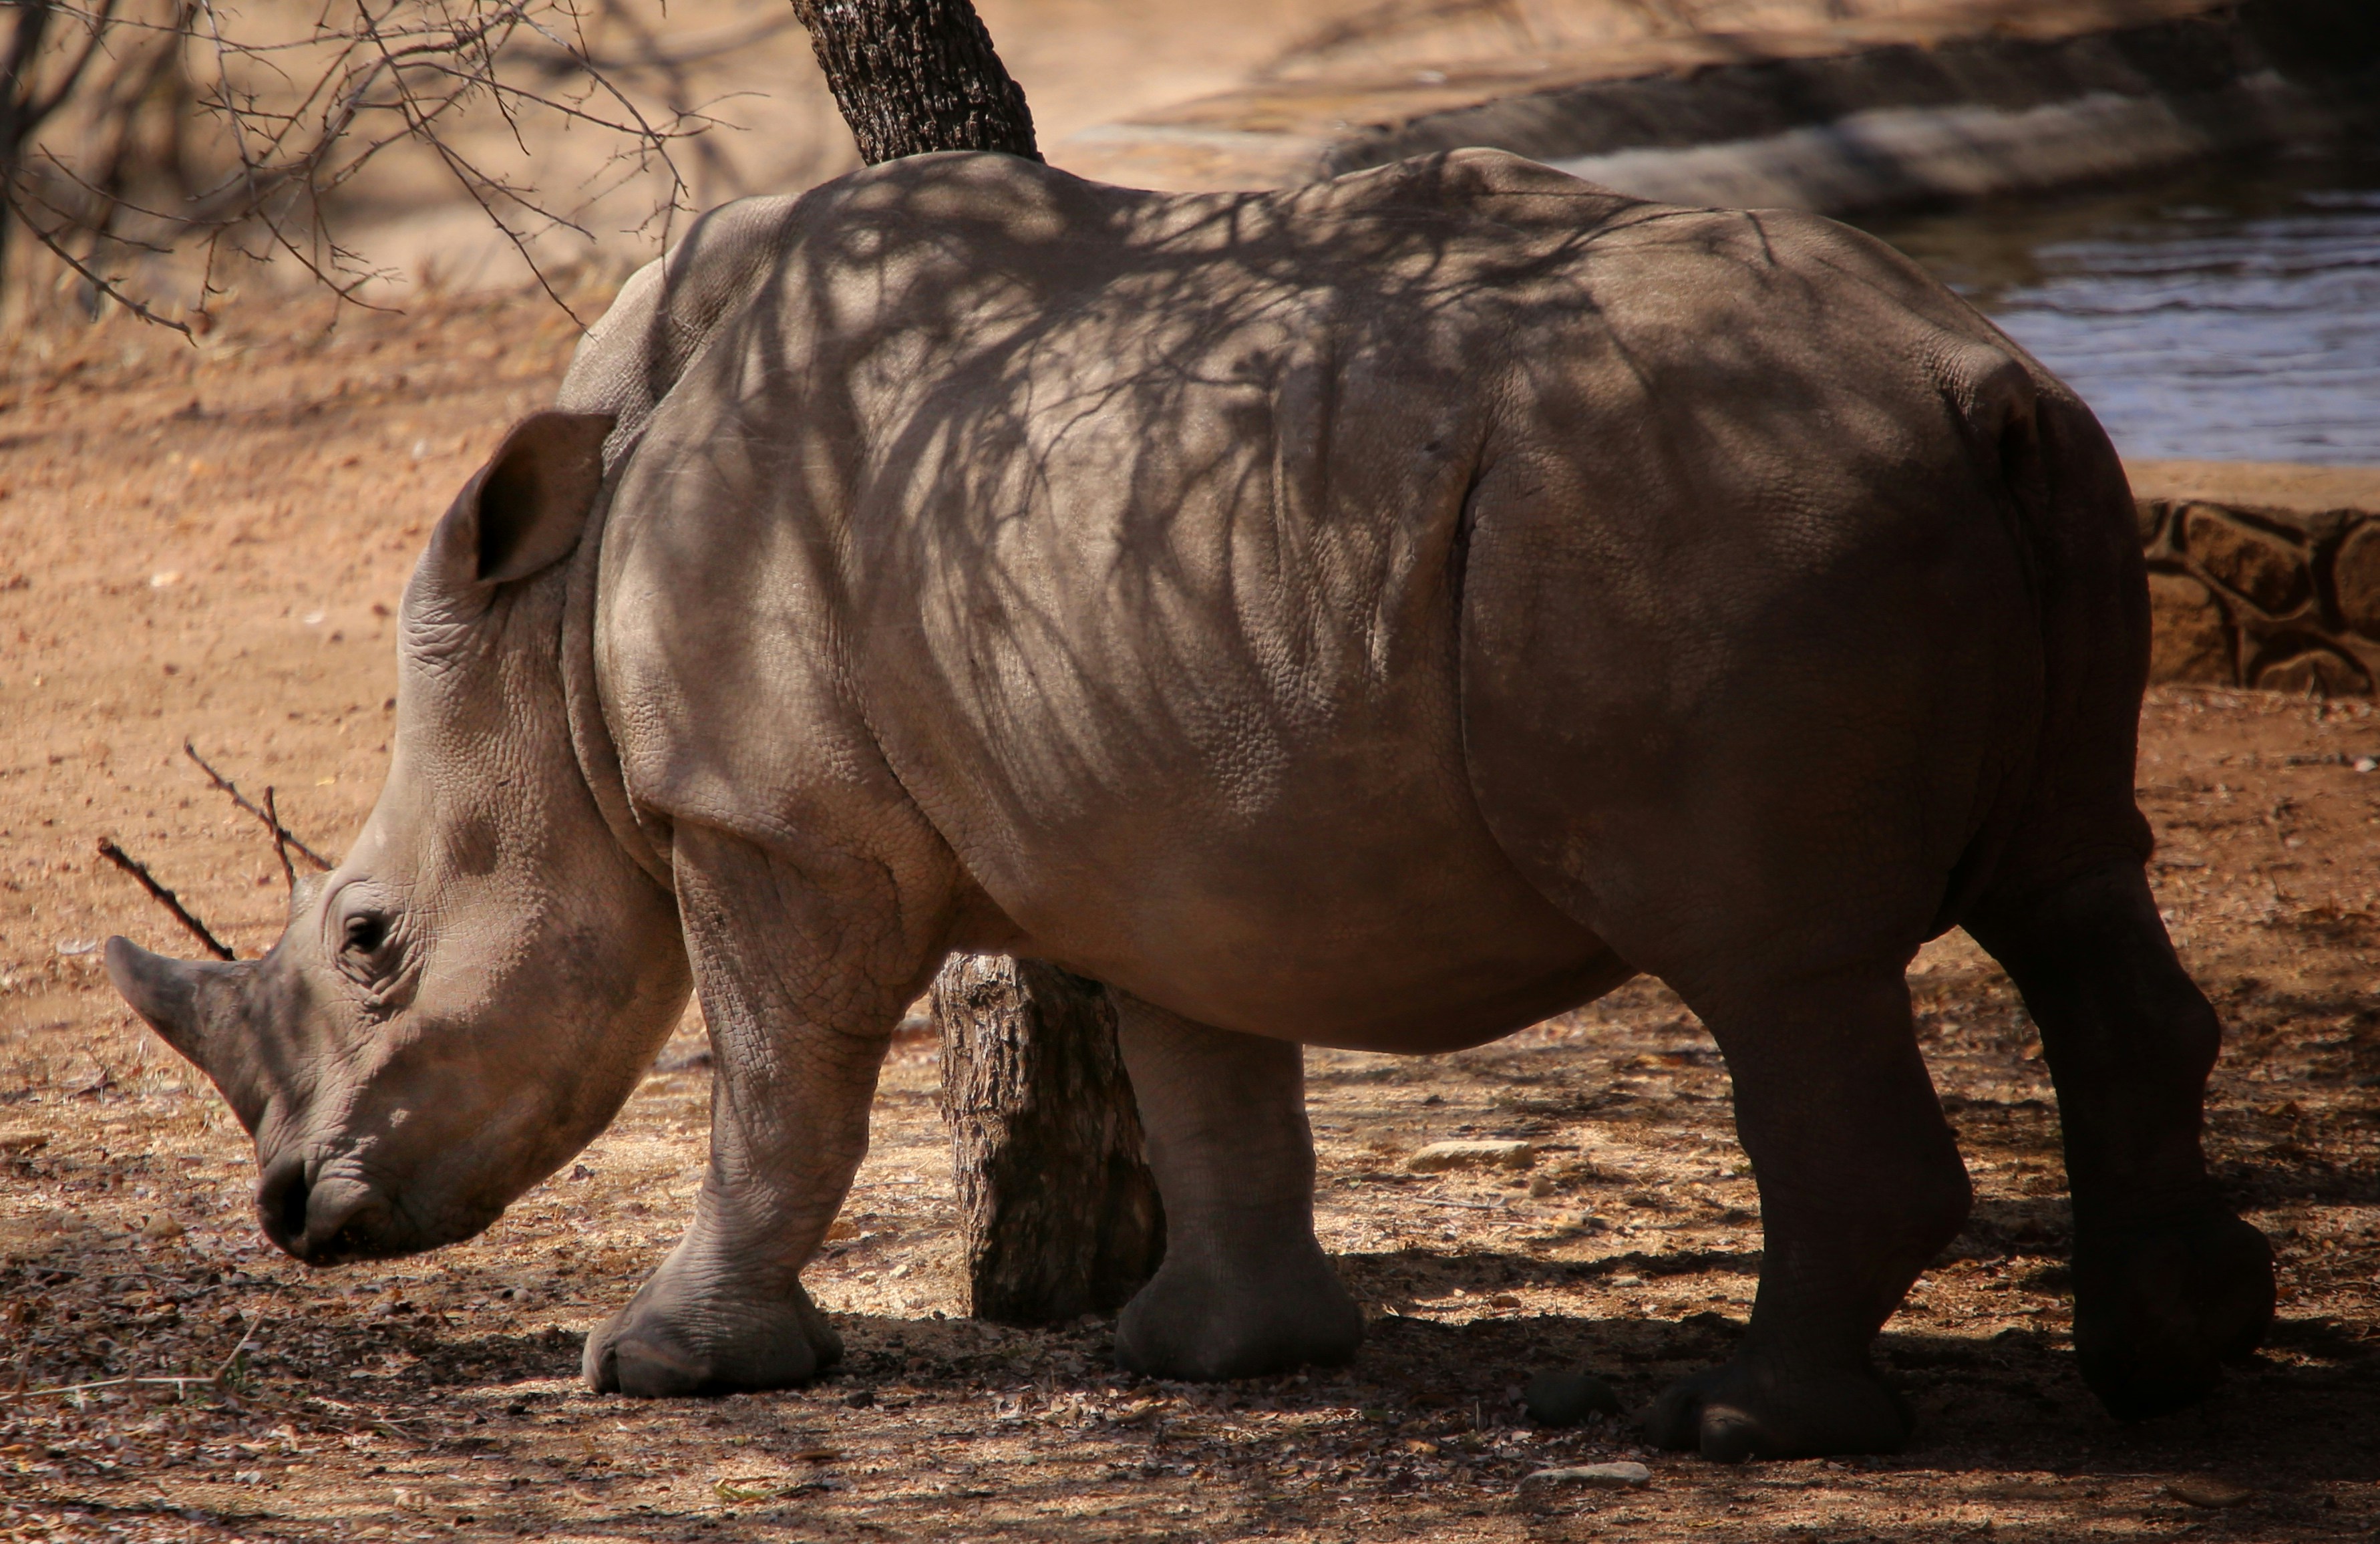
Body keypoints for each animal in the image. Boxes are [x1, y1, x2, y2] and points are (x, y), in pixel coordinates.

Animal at [106, 148, 2273, 1460]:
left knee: (1776, 965)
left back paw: (1734, 1422)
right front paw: (1212, 1354)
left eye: (371, 940)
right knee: (2077, 891)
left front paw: (660, 1365)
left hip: (1726, 519)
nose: (293, 1215)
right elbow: (1208, 1067)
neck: (551, 627)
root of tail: (1976, 382)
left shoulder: (767, 824)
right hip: (1983, 481)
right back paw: (2172, 1363)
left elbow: (781, 1088)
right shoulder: (1147, 816)